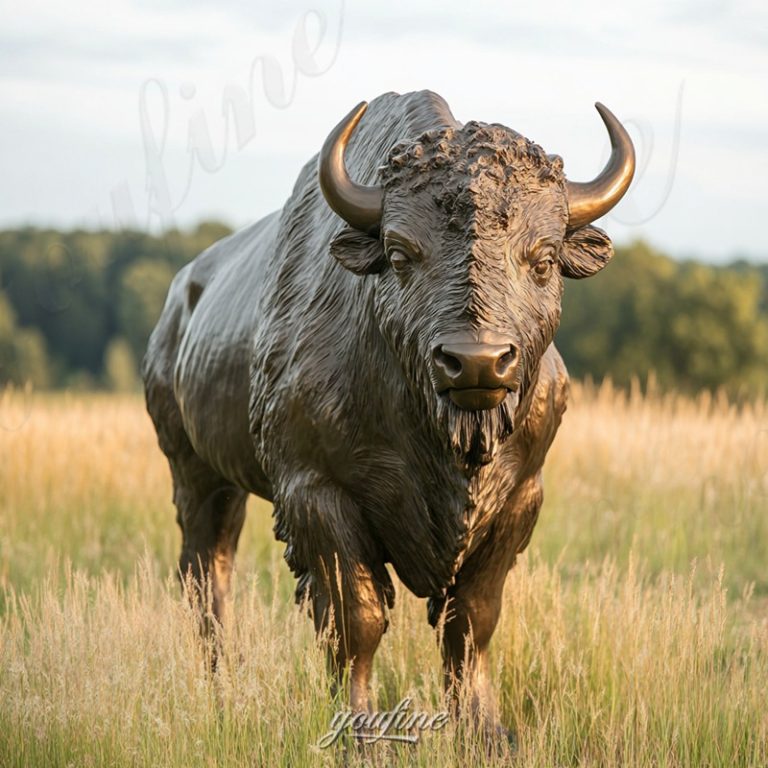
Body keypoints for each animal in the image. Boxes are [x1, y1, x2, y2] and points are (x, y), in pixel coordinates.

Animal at [143, 89, 634, 741]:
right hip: (194, 473)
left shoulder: (519, 498)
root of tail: (178, 301)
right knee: (206, 575)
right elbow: (358, 620)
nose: (476, 361)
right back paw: (219, 684)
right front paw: (359, 732)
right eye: (399, 253)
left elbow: (471, 621)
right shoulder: (316, 494)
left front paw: (485, 731)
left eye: (545, 258)